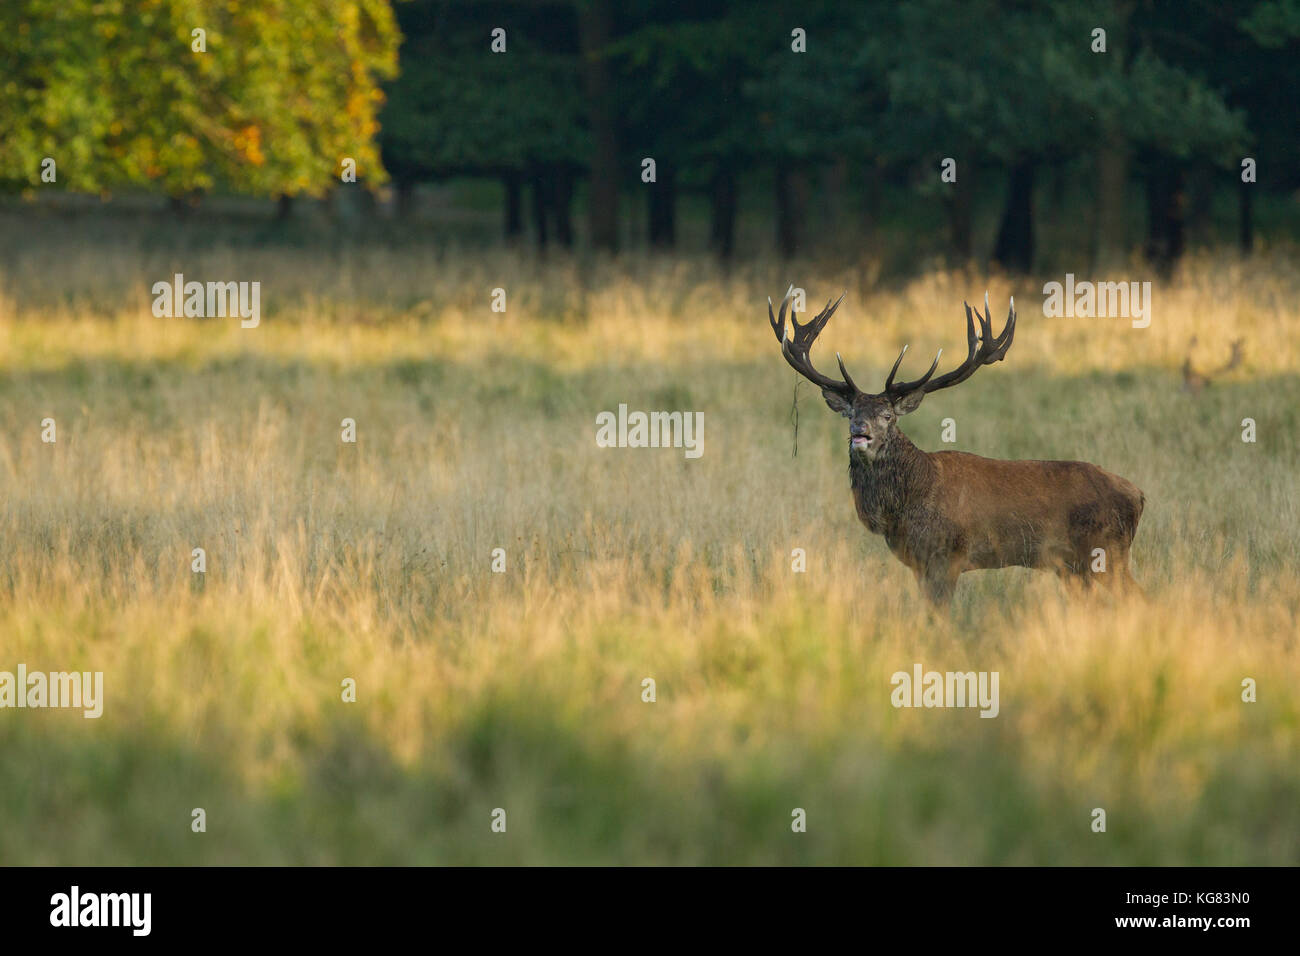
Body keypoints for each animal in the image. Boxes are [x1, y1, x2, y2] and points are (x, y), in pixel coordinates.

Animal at [769, 288, 1145, 605]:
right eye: (851, 414)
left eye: (888, 416)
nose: (861, 432)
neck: (904, 506)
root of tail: (1138, 496)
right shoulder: (919, 564)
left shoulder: (945, 557)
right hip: (1073, 567)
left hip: (1107, 551)